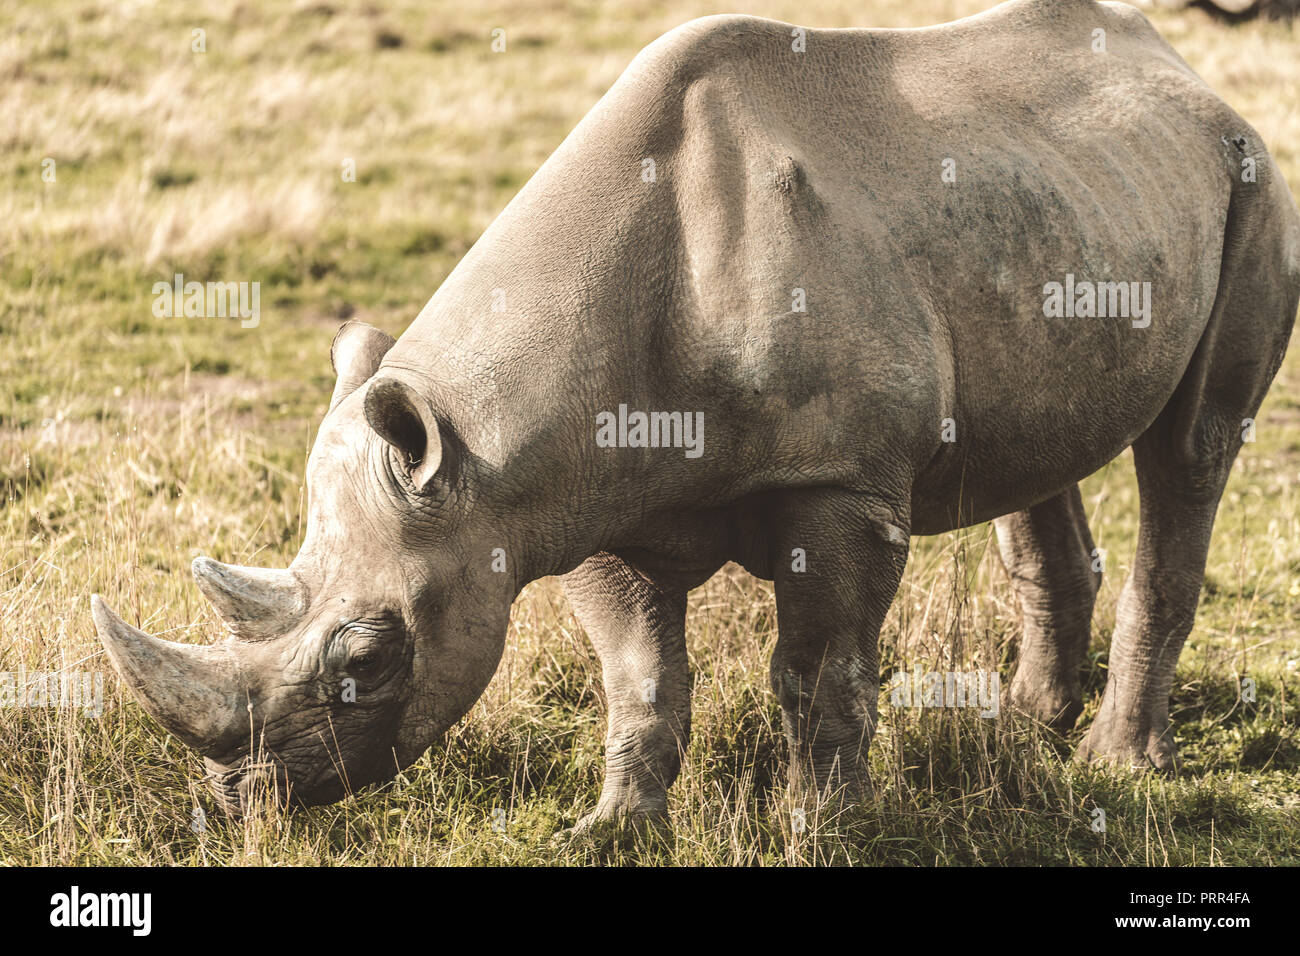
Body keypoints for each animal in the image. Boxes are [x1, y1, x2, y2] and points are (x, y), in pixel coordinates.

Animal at [93, 0, 1300, 834]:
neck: (489, 455)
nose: (238, 798)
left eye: (372, 656)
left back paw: (1115, 766)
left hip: (1251, 180)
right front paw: (610, 830)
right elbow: (639, 673)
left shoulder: (836, 479)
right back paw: (1029, 725)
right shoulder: (558, 500)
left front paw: (822, 829)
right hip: (1071, 199)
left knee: (1188, 454)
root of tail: (1179, 68)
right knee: (1033, 446)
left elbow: (818, 668)